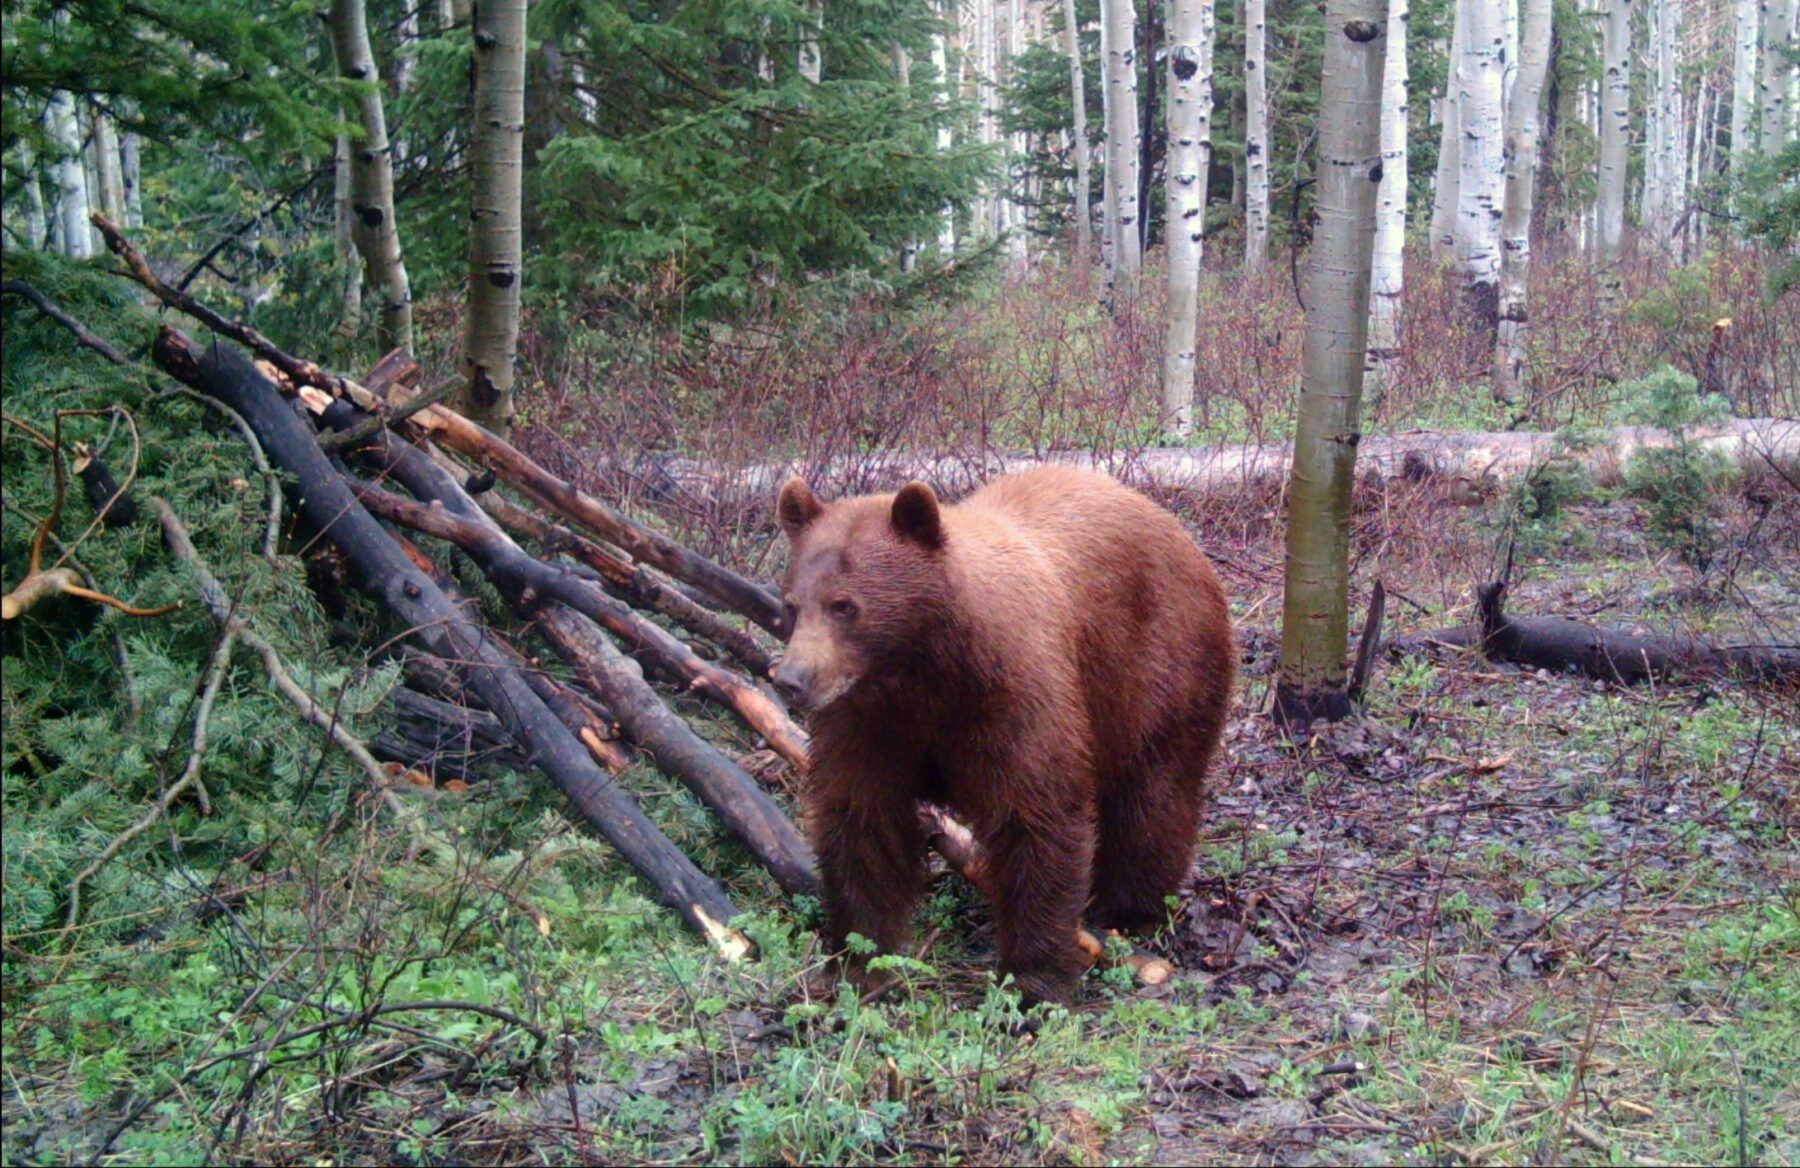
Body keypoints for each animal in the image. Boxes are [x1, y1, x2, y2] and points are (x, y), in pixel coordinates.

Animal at [773, 466, 1234, 1005]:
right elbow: (862, 823)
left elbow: (1035, 817)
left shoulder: (1013, 698)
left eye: (844, 606)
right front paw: (859, 962)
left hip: (1160, 665)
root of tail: (1175, 527)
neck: (924, 670)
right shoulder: (871, 721)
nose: (792, 679)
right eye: (792, 604)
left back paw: (1129, 905)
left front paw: (1036, 983)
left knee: (1153, 794)